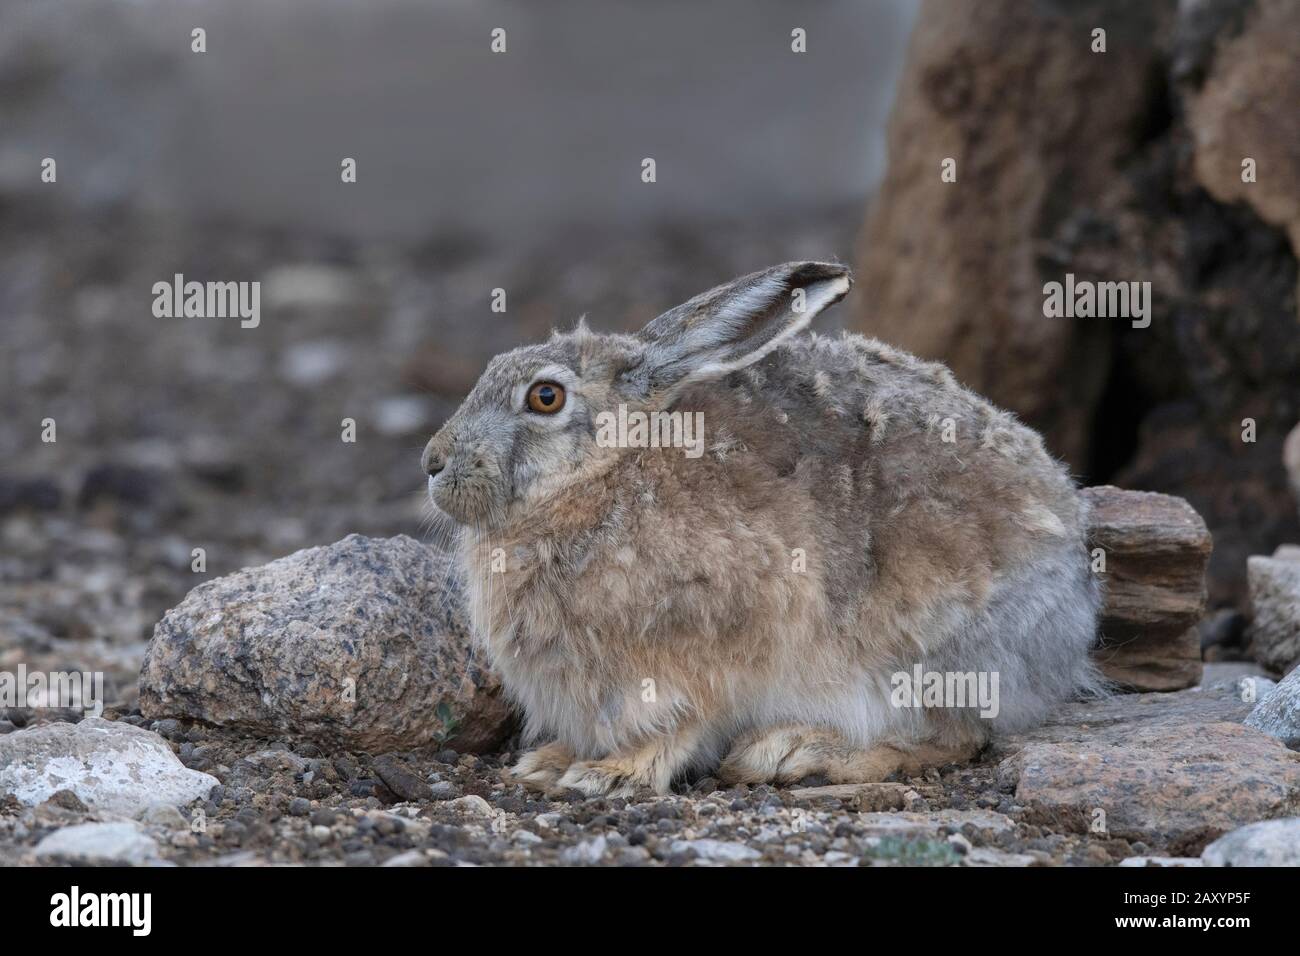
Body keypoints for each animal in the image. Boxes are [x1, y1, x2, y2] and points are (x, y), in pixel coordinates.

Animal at [421, 261, 1103, 797]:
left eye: (545, 398)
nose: (431, 461)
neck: (604, 472)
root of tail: (1075, 604)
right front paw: (550, 762)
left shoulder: (707, 650)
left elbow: (681, 725)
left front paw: (608, 774)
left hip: (935, 654)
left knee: (956, 736)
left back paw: (794, 752)